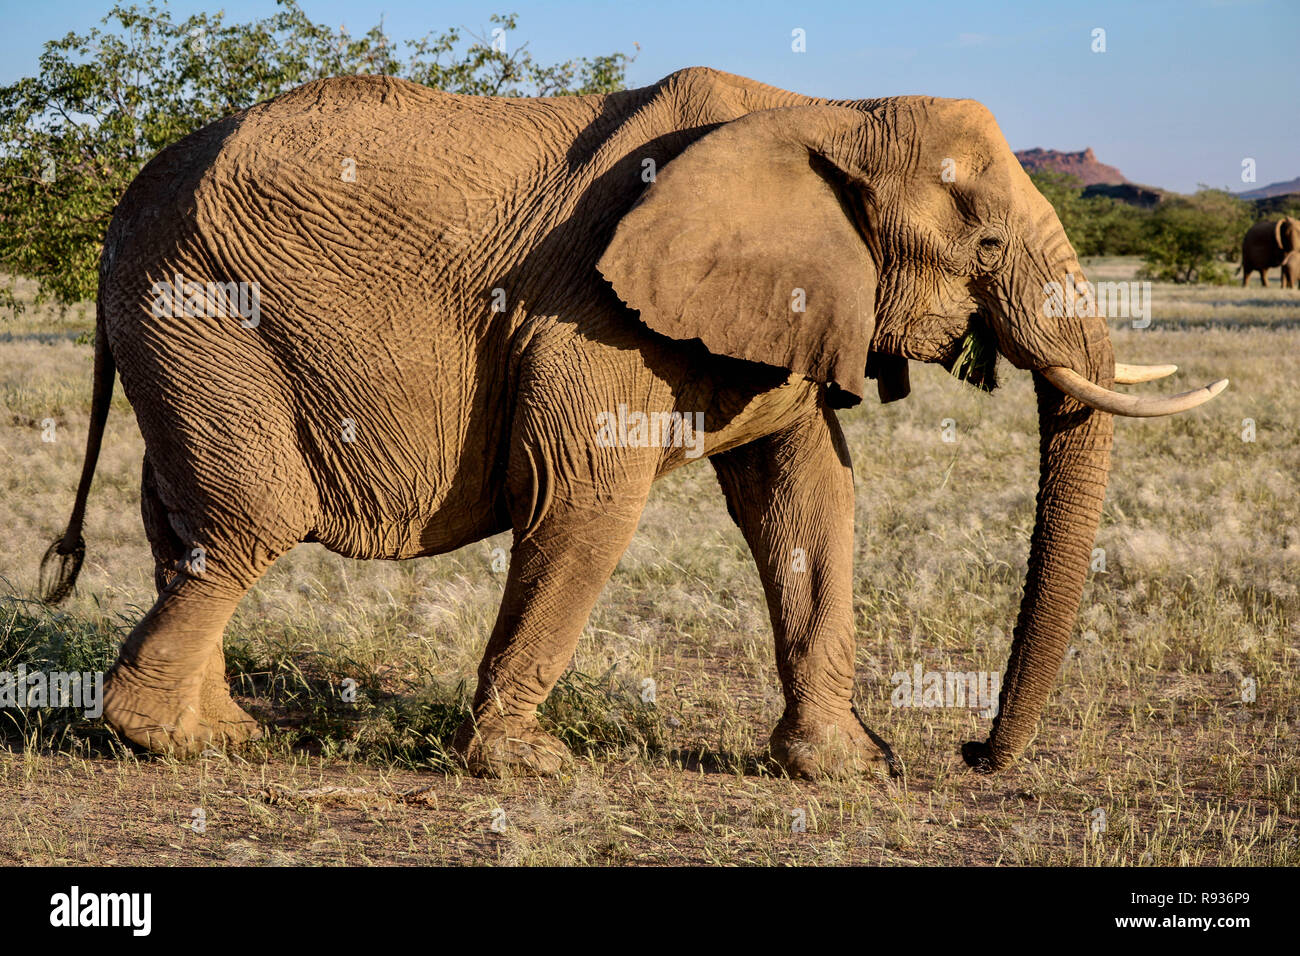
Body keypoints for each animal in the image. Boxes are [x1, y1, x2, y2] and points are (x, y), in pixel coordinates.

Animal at [41, 68, 1229, 778]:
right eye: (982, 249)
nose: (969, 754)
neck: (823, 108)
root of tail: (119, 202)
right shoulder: (592, 305)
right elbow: (587, 494)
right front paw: (525, 768)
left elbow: (807, 501)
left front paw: (840, 768)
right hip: (201, 307)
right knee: (253, 518)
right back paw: (164, 739)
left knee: (185, 524)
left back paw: (216, 734)